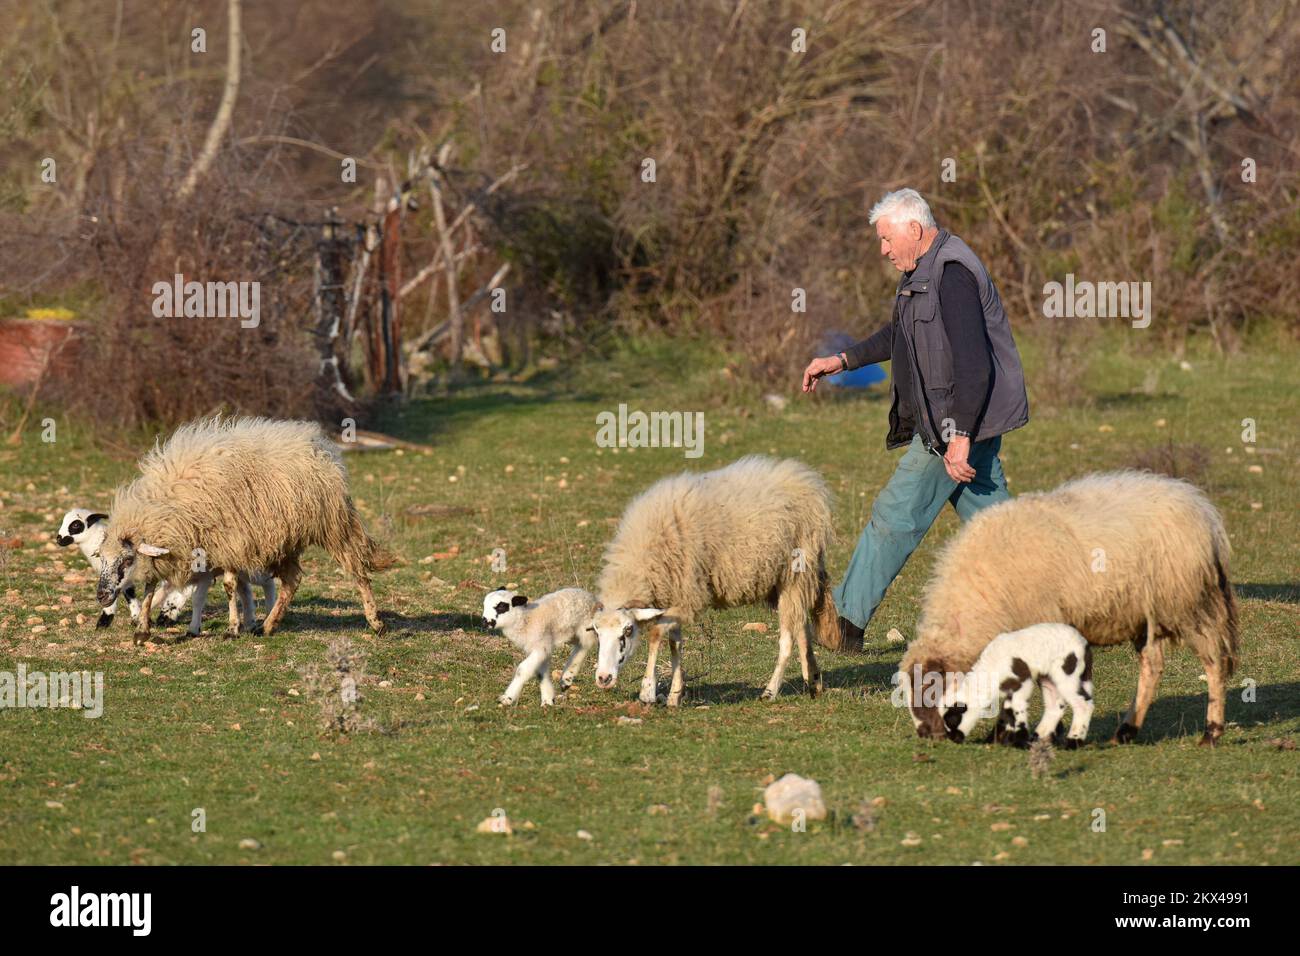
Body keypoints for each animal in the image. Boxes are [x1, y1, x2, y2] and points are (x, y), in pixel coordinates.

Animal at [57, 508, 276, 636]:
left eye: (75, 525)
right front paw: (107, 620)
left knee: (267, 582)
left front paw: (137, 617)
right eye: (63, 522)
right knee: (245, 590)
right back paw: (250, 622)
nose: (59, 539)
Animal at [95, 415, 389, 644]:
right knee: (291, 581)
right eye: (104, 559)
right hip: (285, 539)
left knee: (357, 569)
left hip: (333, 524)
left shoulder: (230, 541)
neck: (168, 505)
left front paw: (233, 628)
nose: (101, 595)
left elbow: (229, 586)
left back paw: (376, 622)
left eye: (127, 560)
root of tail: (316, 442)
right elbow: (150, 588)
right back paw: (268, 625)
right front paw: (142, 630)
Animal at [592, 455, 839, 706]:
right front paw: (675, 694)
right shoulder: (677, 595)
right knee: (802, 626)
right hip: (787, 582)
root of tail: (806, 479)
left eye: (627, 631)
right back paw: (813, 681)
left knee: (788, 638)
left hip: (796, 572)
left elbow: (655, 635)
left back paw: (770, 691)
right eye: (596, 633)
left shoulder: (690, 596)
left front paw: (648, 690)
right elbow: (674, 643)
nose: (603, 678)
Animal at [941, 623, 1095, 748]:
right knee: (1055, 705)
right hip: (1049, 677)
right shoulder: (1010, 689)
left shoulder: (1021, 682)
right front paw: (1000, 740)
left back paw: (1073, 742)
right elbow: (1008, 711)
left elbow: (1017, 708)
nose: (953, 739)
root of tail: (1084, 643)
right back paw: (1038, 738)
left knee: (1084, 704)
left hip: (1067, 672)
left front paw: (1019, 741)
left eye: (953, 720)